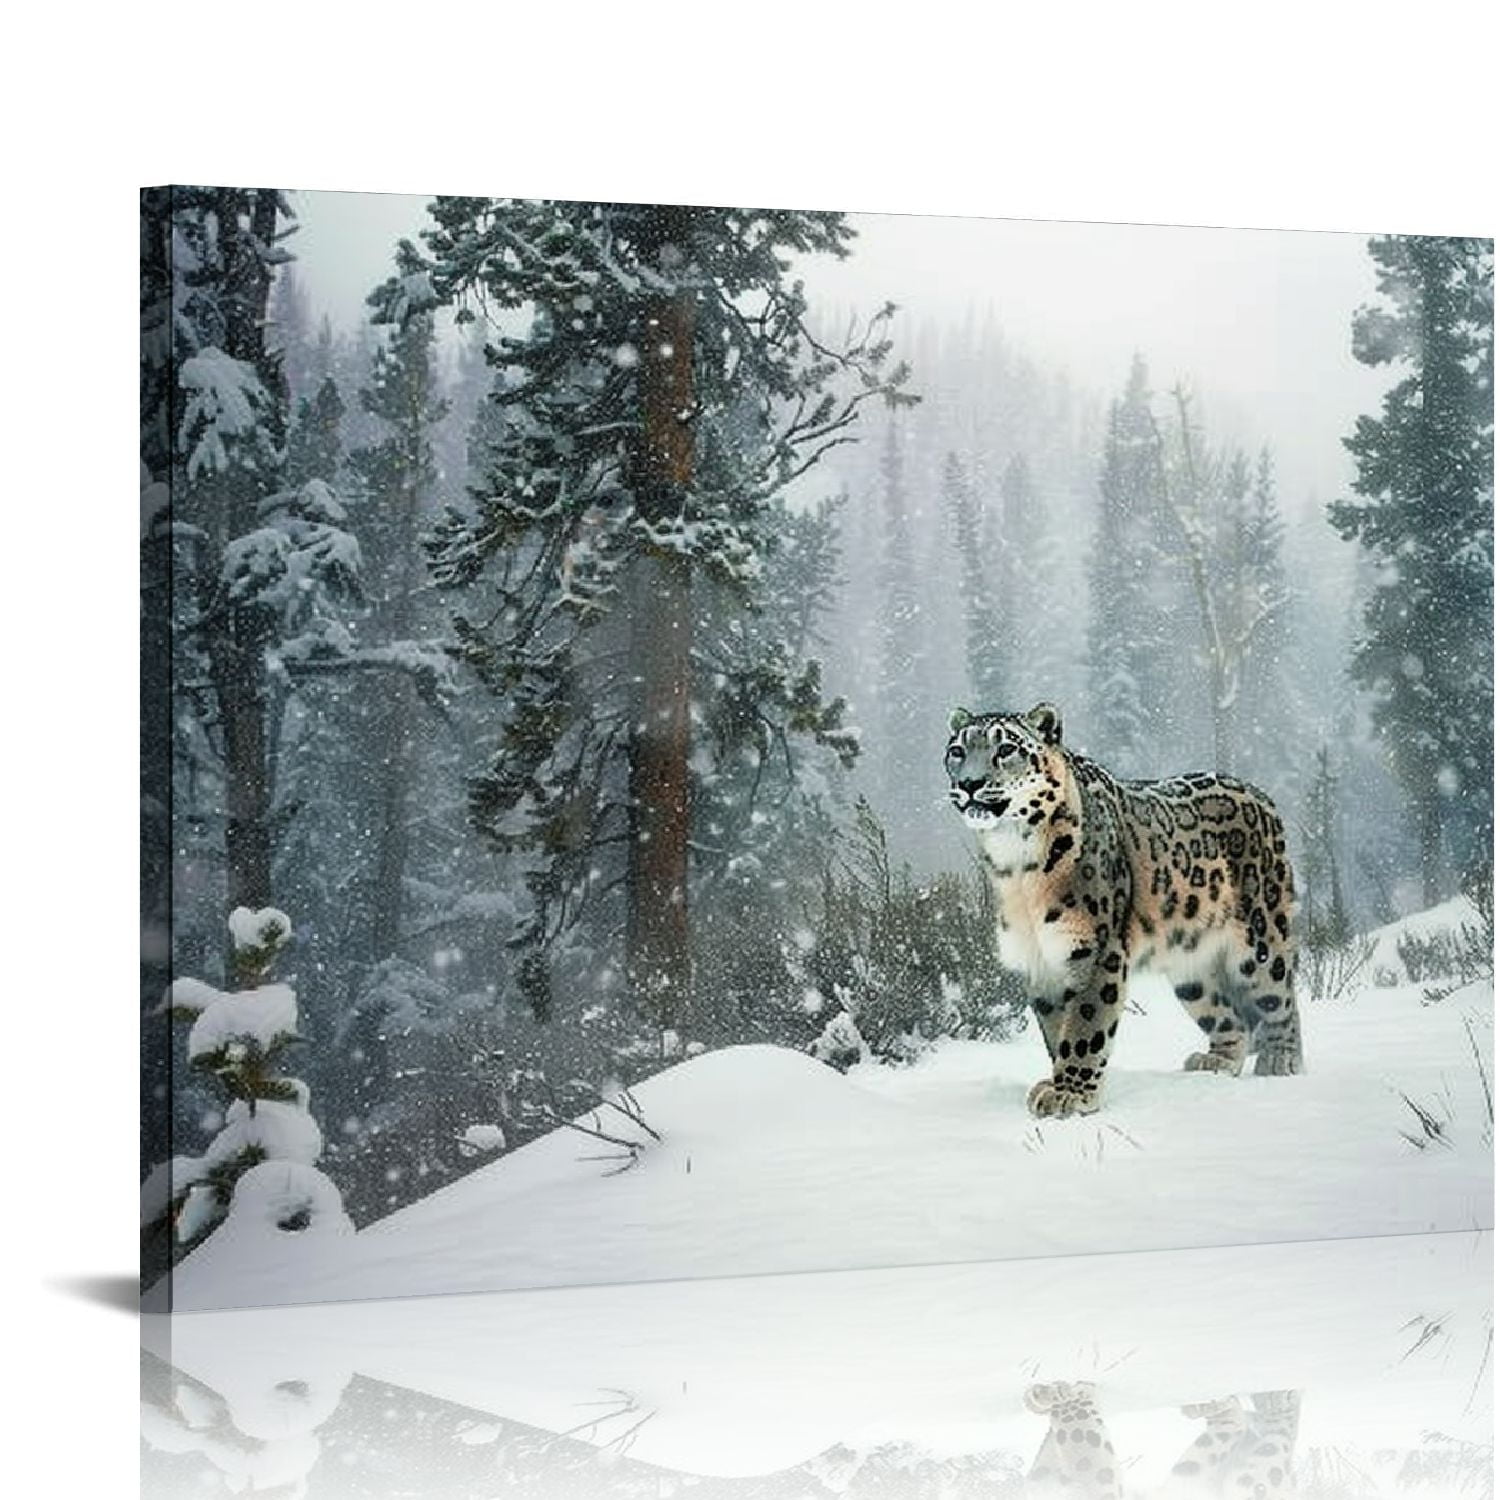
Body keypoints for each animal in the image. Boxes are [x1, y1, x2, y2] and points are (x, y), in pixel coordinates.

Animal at [945, 702, 1303, 1118]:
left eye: (1005, 749)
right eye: (957, 750)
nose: (969, 783)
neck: (1016, 867)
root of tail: (1262, 795)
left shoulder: (1096, 950)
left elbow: (1085, 1026)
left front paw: (1071, 1094)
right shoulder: (1042, 959)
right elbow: (1056, 1028)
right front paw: (1059, 1084)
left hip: (1261, 937)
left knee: (1280, 997)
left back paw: (1281, 1059)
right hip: (1191, 970)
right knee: (1230, 1016)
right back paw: (1217, 1061)